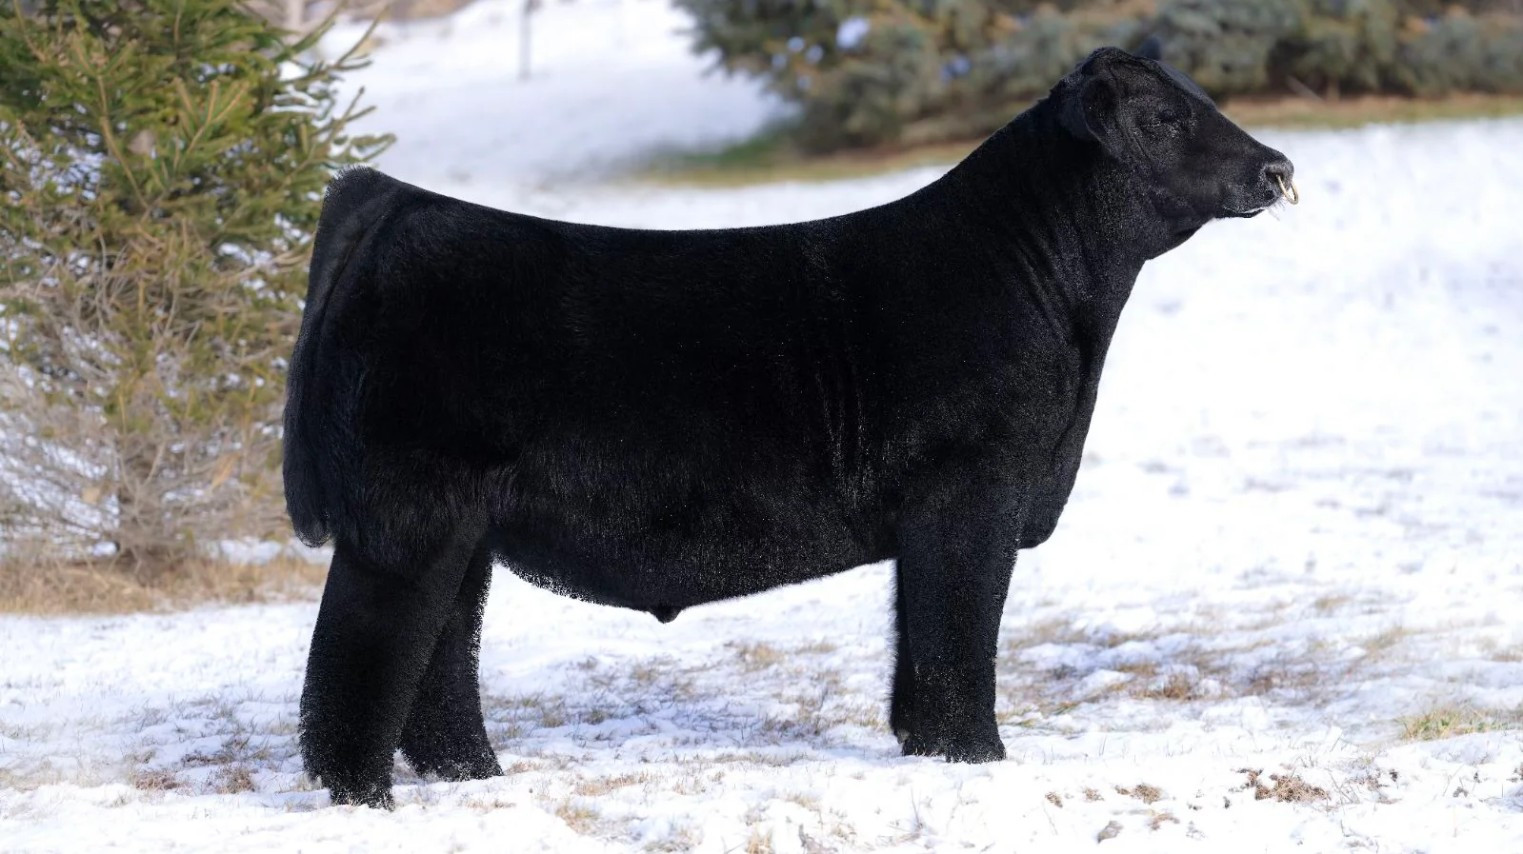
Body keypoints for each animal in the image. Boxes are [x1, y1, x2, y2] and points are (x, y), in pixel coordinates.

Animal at [283, 46, 1296, 807]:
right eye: (1162, 118)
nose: (1277, 168)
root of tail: (405, 203)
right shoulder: (973, 494)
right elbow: (955, 634)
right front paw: (976, 759)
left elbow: (920, 645)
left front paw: (931, 754)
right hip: (406, 519)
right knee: (360, 662)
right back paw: (365, 803)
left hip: (463, 531)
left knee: (440, 660)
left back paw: (477, 780)